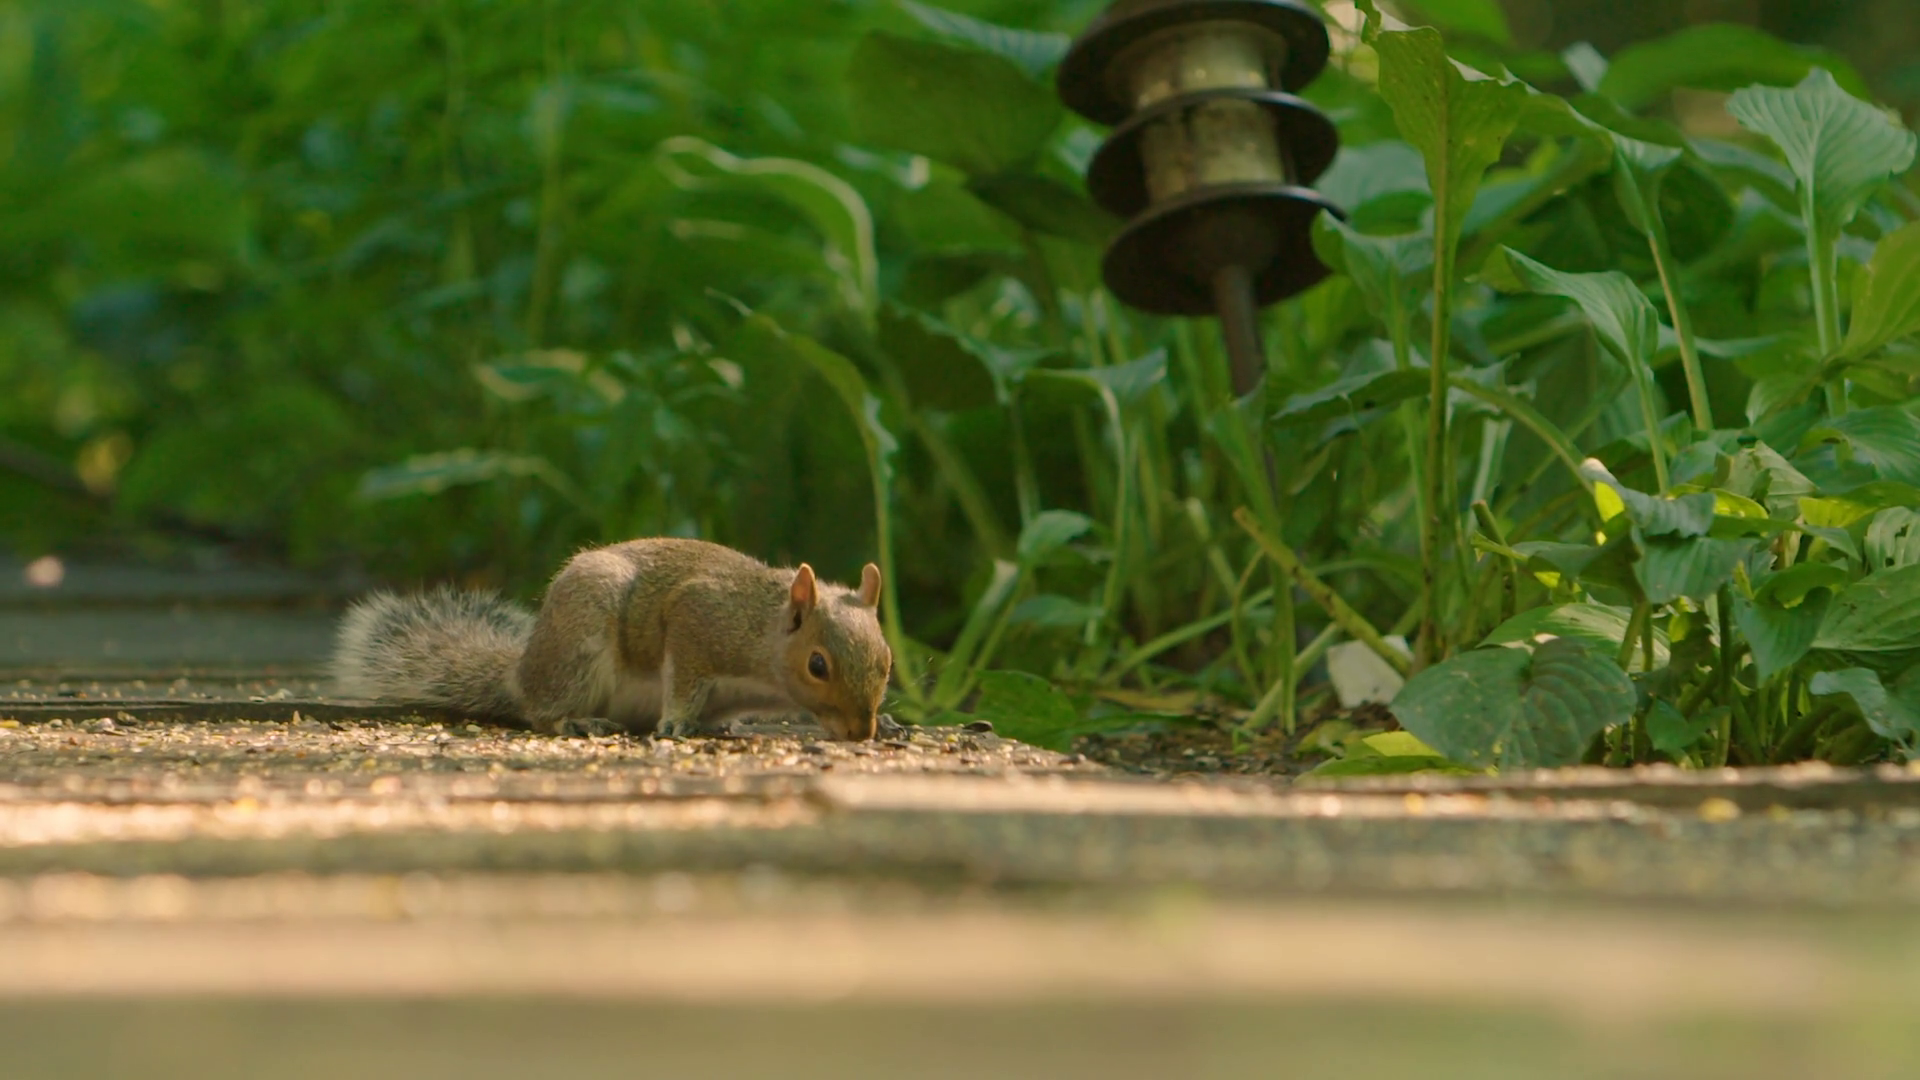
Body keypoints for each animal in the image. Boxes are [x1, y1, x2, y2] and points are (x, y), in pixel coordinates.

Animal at [328, 537, 893, 741]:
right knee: (543, 712)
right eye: (817, 665)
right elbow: (684, 678)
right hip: (579, 649)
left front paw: (888, 722)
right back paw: (579, 720)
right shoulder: (698, 619)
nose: (861, 732)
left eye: (887, 661)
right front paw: (679, 721)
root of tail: (522, 673)